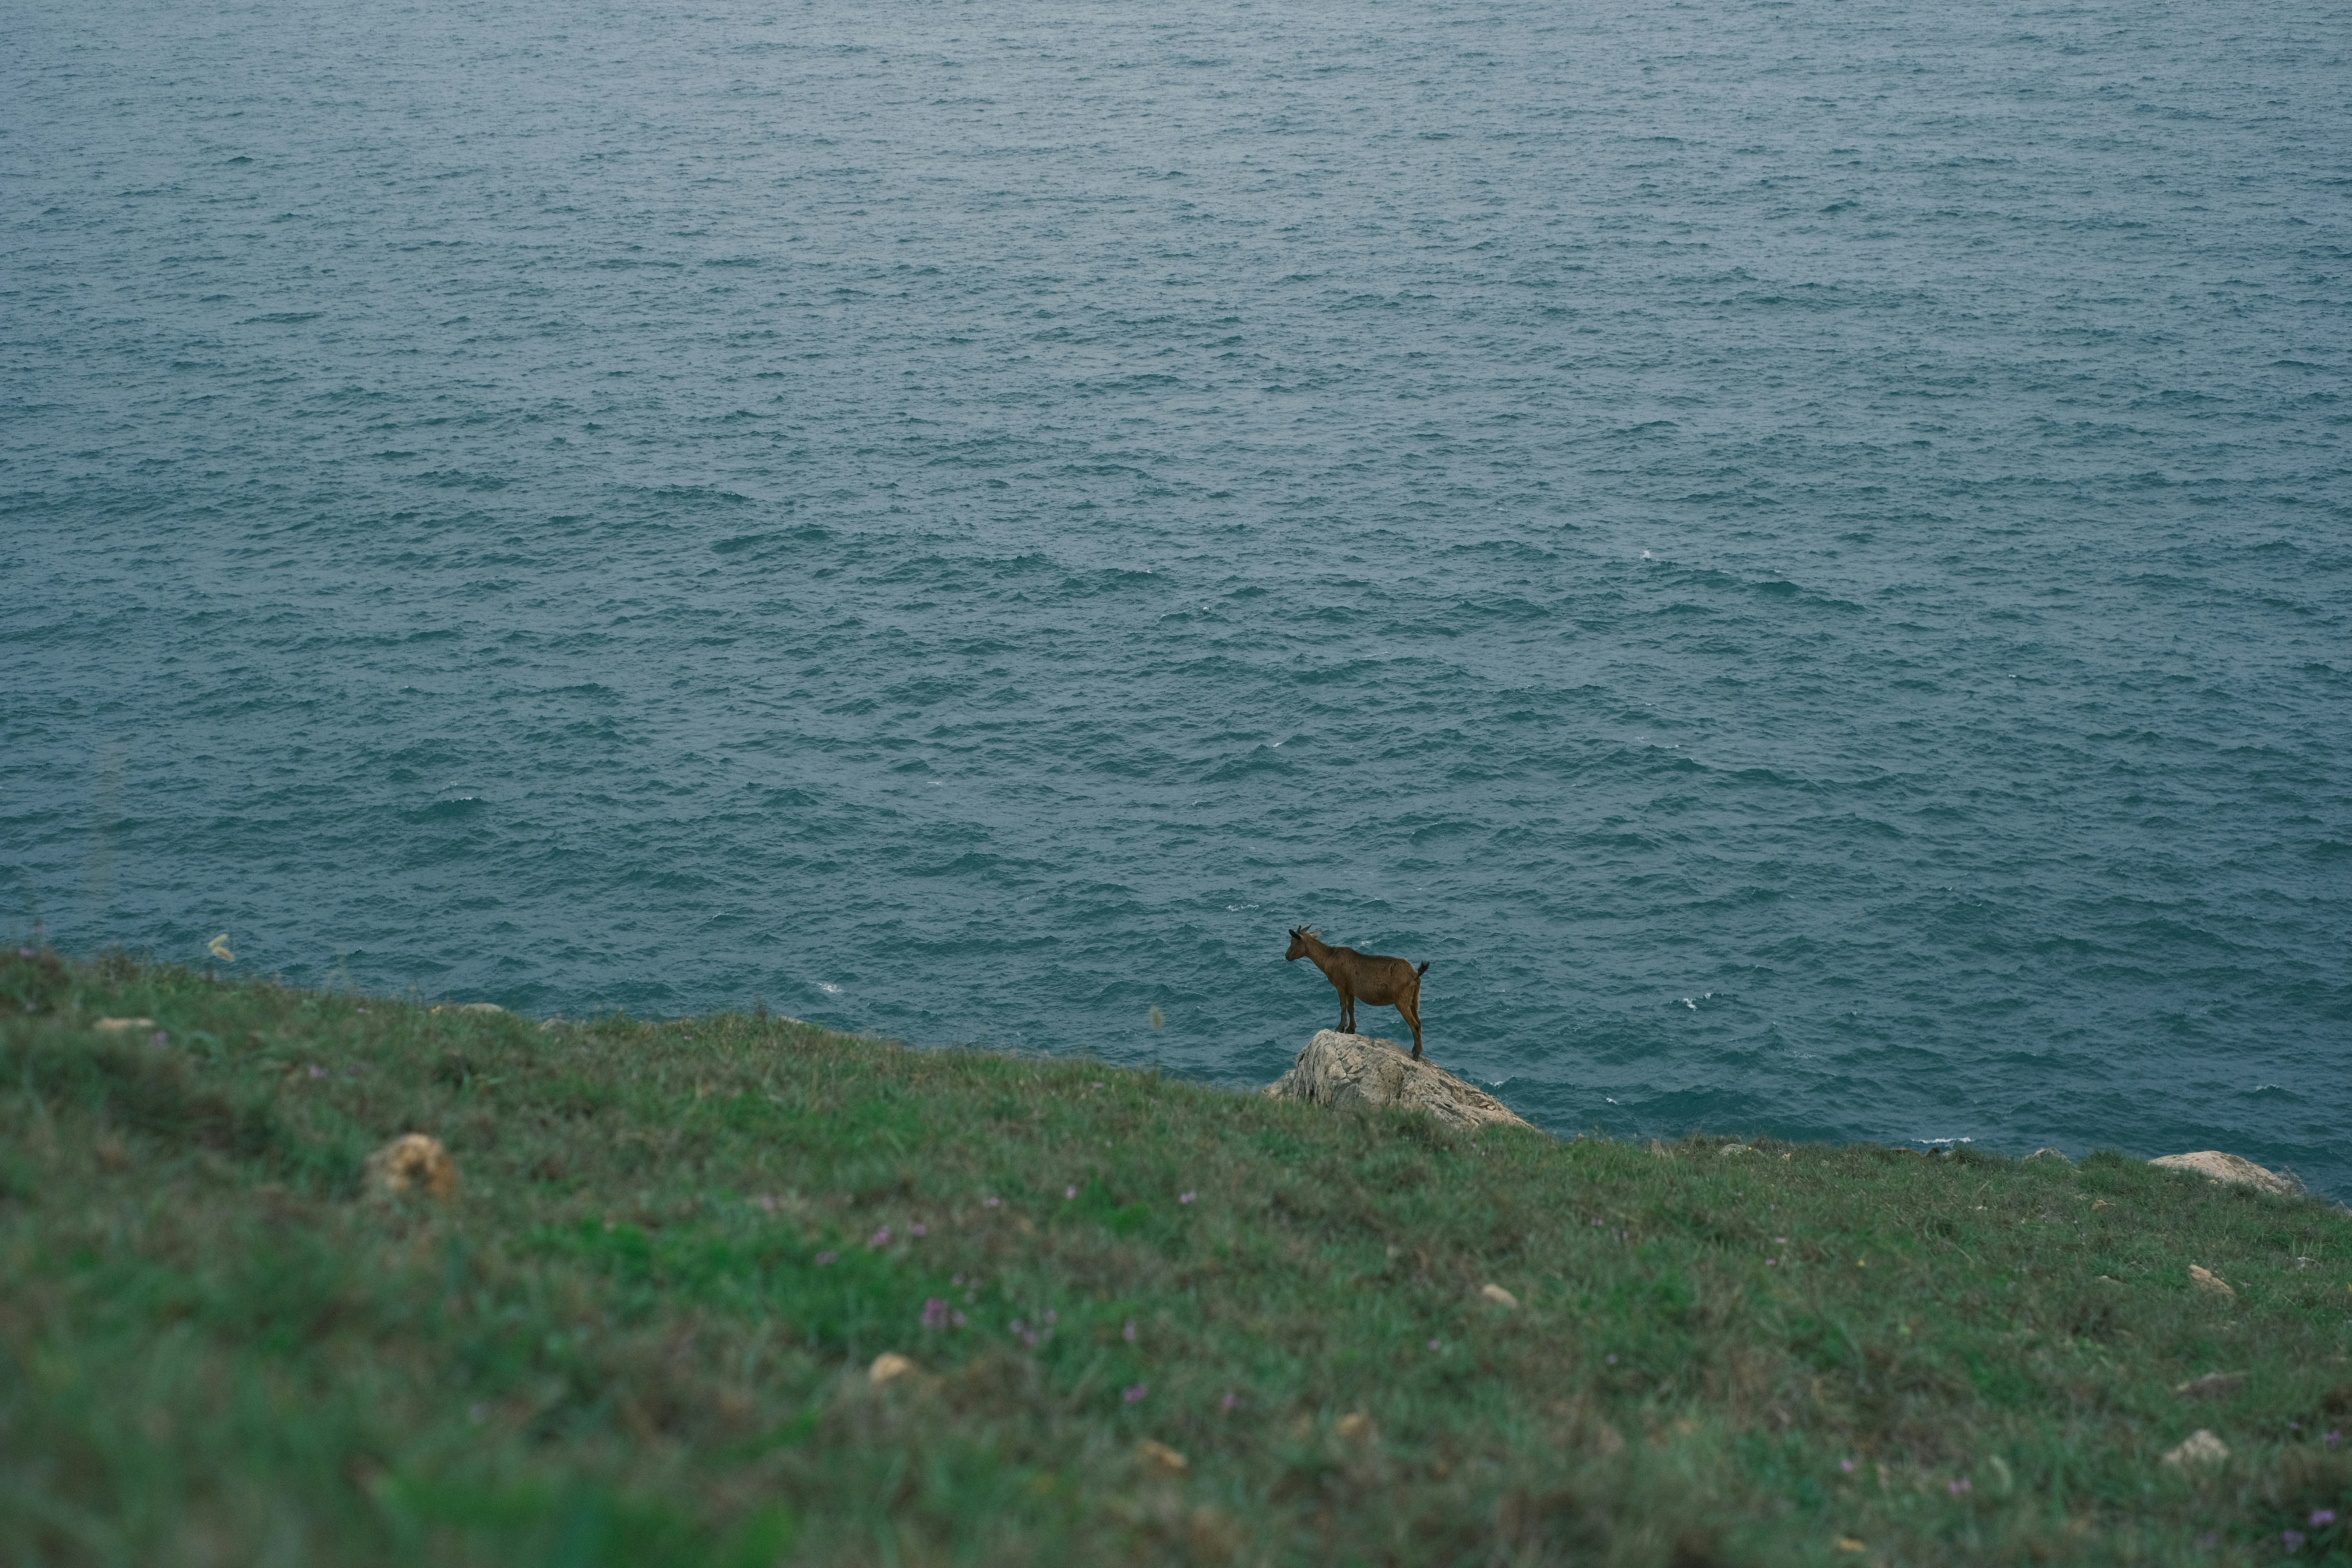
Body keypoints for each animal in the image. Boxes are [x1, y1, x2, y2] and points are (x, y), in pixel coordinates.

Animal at [1284, 926, 1431, 1059]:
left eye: (1293, 942)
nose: (1287, 956)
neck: (1329, 958)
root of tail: (1415, 975)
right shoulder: (1351, 990)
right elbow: (1351, 1008)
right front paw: (1351, 1029)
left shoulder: (1341, 985)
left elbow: (1343, 1006)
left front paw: (1340, 1028)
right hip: (1414, 999)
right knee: (1419, 1022)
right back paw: (1416, 1050)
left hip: (1402, 1001)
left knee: (1415, 1025)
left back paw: (1416, 1054)